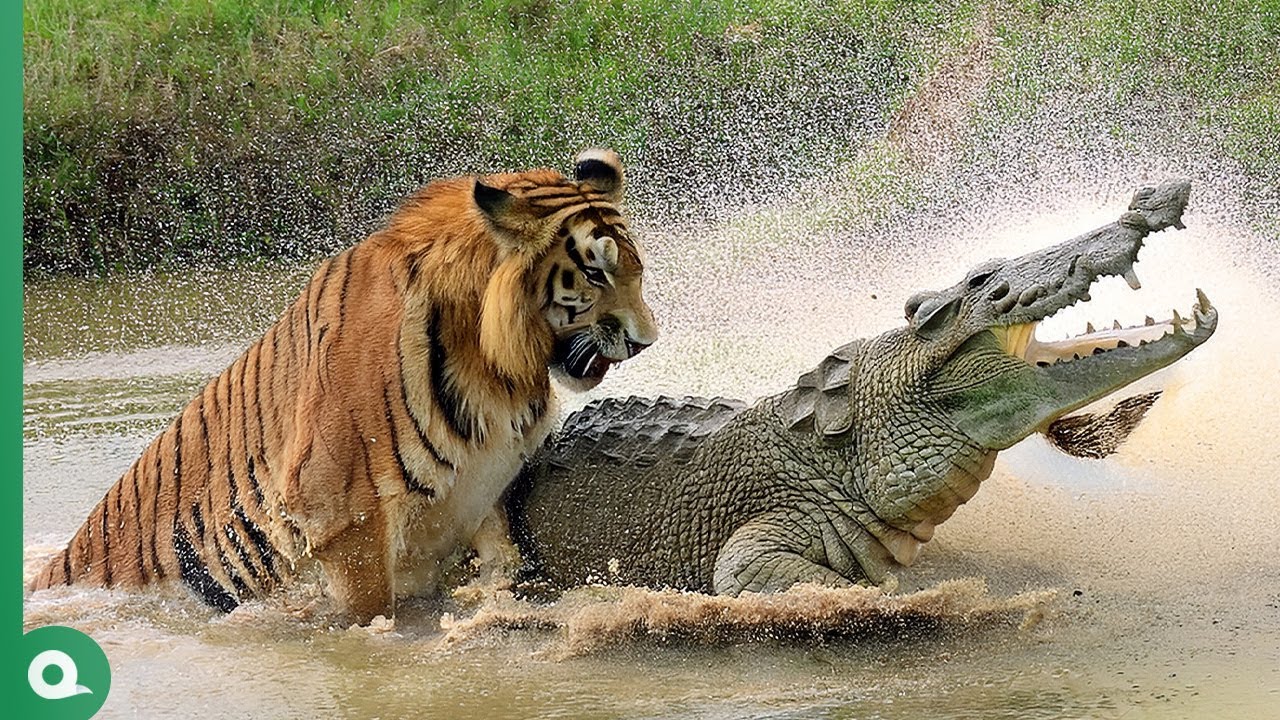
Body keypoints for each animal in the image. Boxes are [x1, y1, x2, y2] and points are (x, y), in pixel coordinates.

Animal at [29, 148, 658, 622]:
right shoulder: (342, 517)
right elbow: (372, 614)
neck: (495, 366)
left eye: (637, 268)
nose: (647, 341)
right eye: (595, 272)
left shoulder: (485, 496)